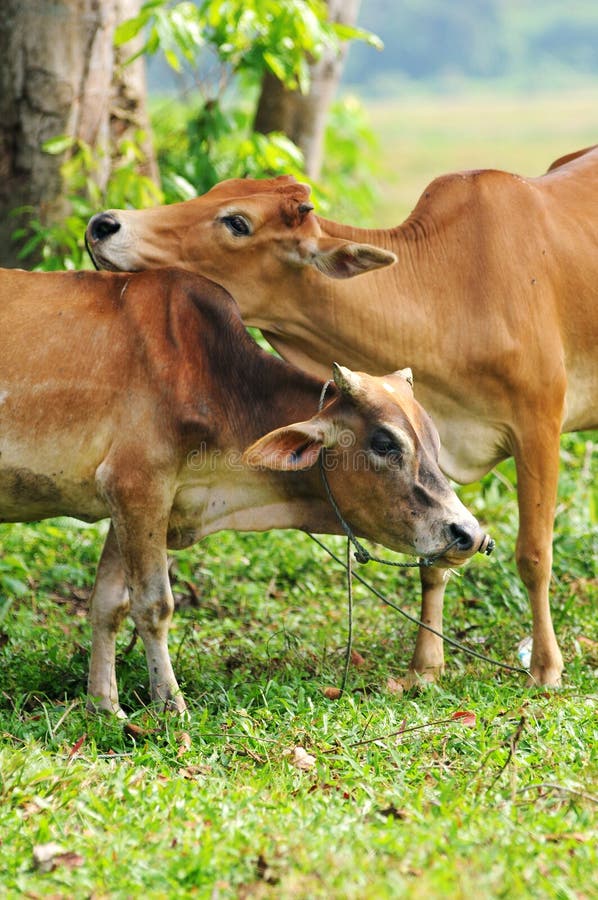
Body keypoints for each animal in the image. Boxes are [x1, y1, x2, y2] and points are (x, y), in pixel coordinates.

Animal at [0, 266, 491, 716]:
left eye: (435, 442)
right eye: (385, 443)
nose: (469, 534)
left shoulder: (133, 505)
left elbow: (108, 605)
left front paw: (104, 707)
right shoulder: (136, 485)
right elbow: (153, 605)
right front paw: (171, 706)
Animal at [85, 145, 598, 687]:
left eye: (237, 222)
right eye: (214, 192)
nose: (104, 224)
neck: (449, 294)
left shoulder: (539, 426)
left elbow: (533, 554)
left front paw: (546, 668)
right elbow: (432, 553)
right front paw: (424, 668)